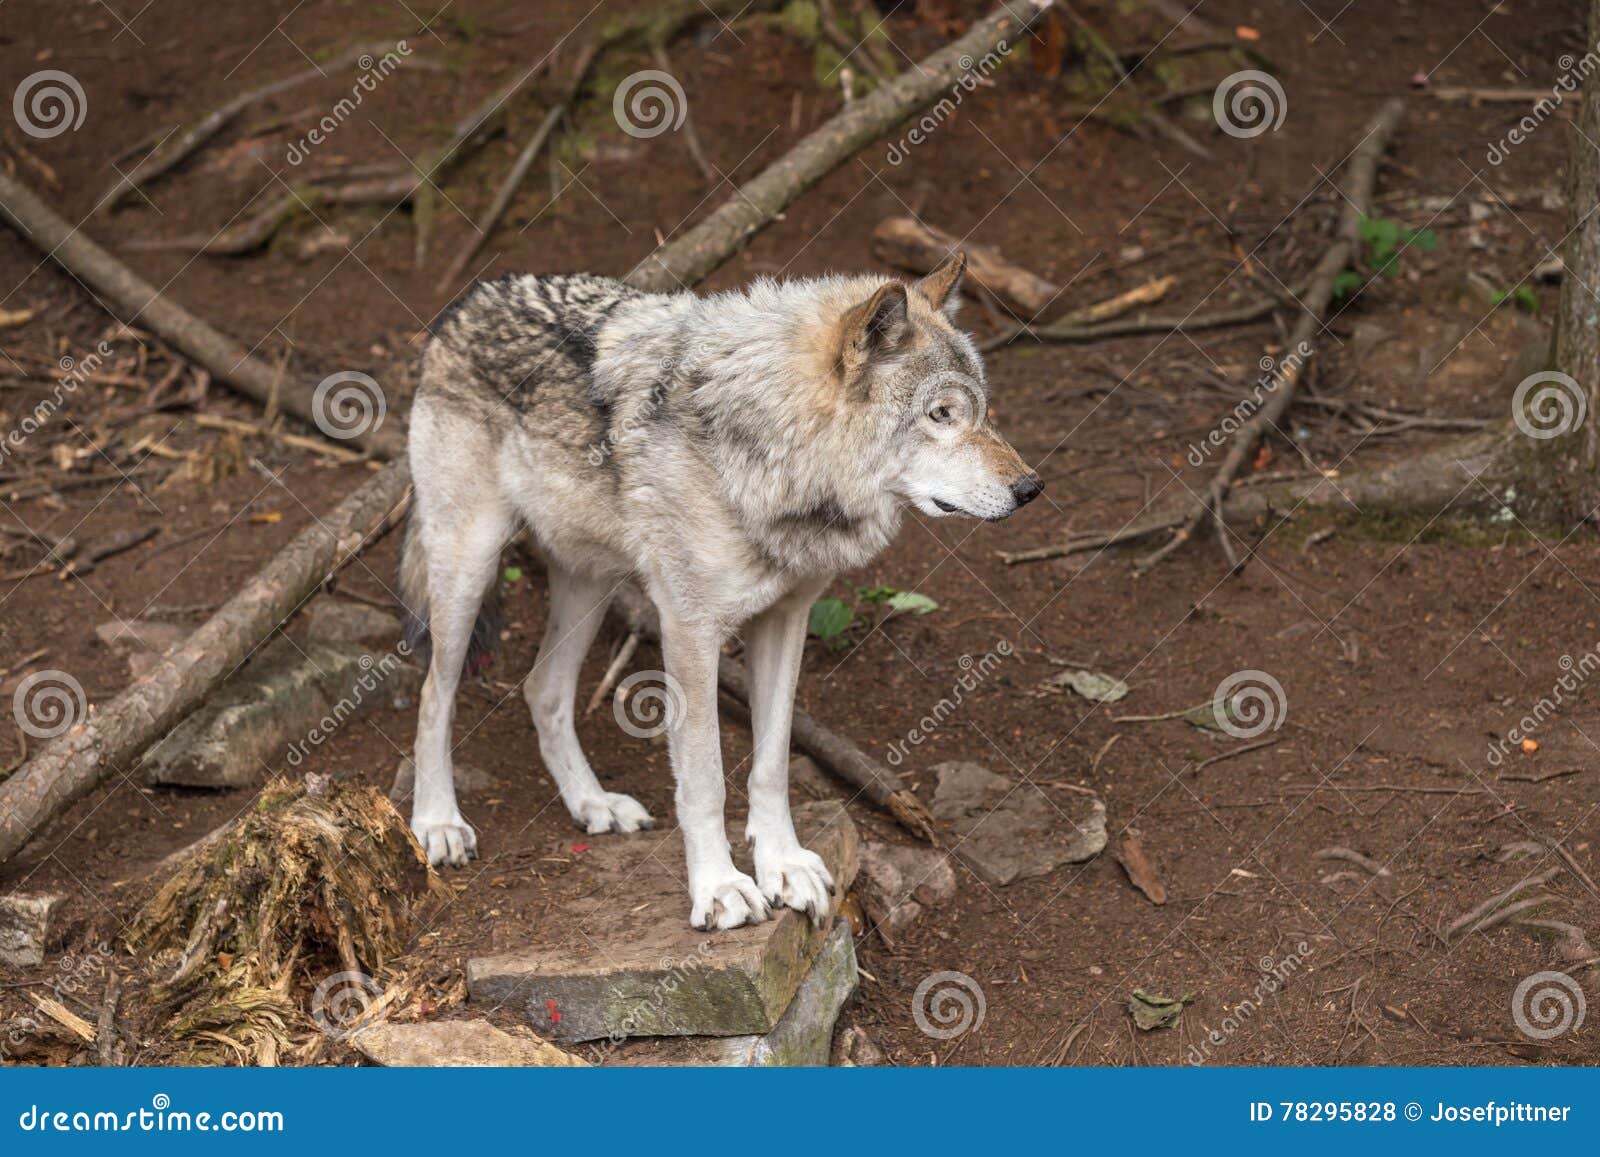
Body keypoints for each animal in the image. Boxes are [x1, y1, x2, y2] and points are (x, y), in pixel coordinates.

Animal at [399, 253, 1042, 930]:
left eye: (983, 411)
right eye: (941, 414)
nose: (1031, 488)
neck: (773, 453)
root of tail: (471, 299)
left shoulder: (786, 619)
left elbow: (772, 764)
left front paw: (782, 866)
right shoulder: (689, 630)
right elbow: (706, 778)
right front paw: (721, 887)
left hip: (590, 584)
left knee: (542, 689)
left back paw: (593, 803)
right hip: (469, 567)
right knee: (434, 695)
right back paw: (438, 823)